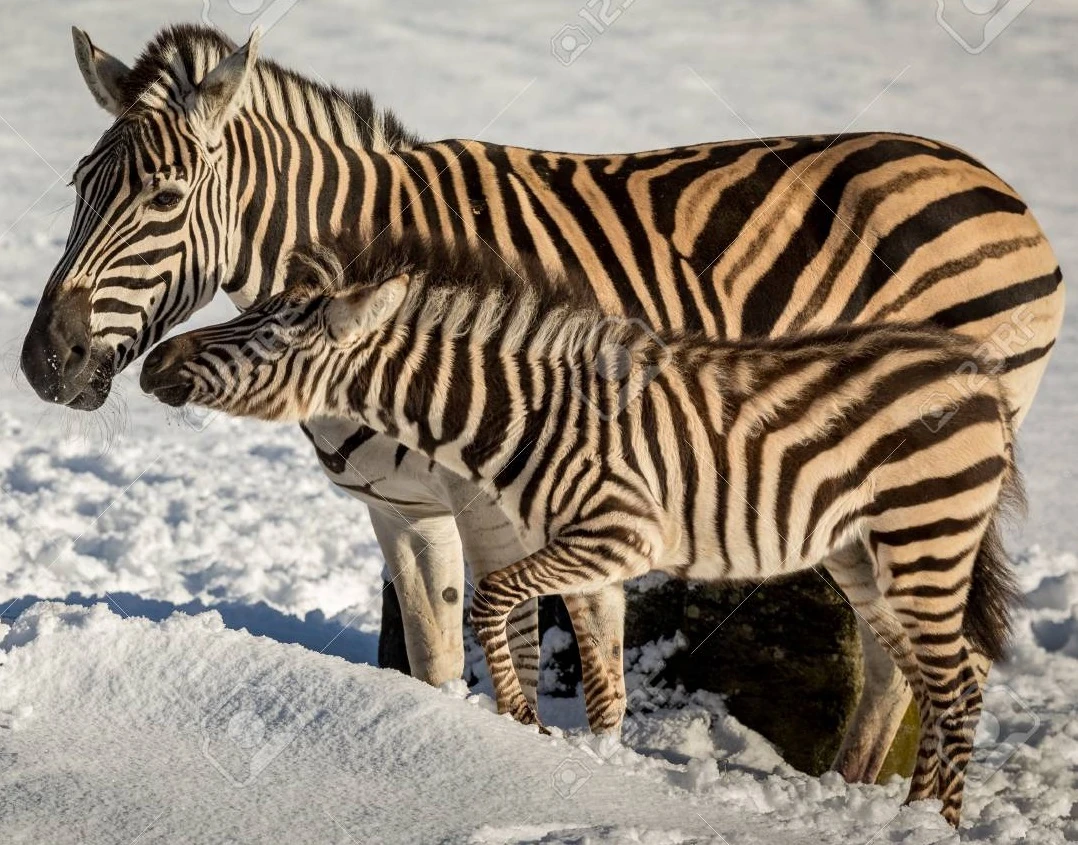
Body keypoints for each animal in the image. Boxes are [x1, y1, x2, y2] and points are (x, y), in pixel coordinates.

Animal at [138, 233, 1024, 827]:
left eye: (264, 334)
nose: (149, 365)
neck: (527, 413)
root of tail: (975, 369)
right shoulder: (596, 562)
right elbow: (604, 684)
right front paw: (597, 766)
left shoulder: (614, 536)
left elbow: (492, 600)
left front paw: (519, 719)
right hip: (865, 555)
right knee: (926, 673)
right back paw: (915, 811)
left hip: (926, 535)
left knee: (959, 679)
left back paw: (936, 825)